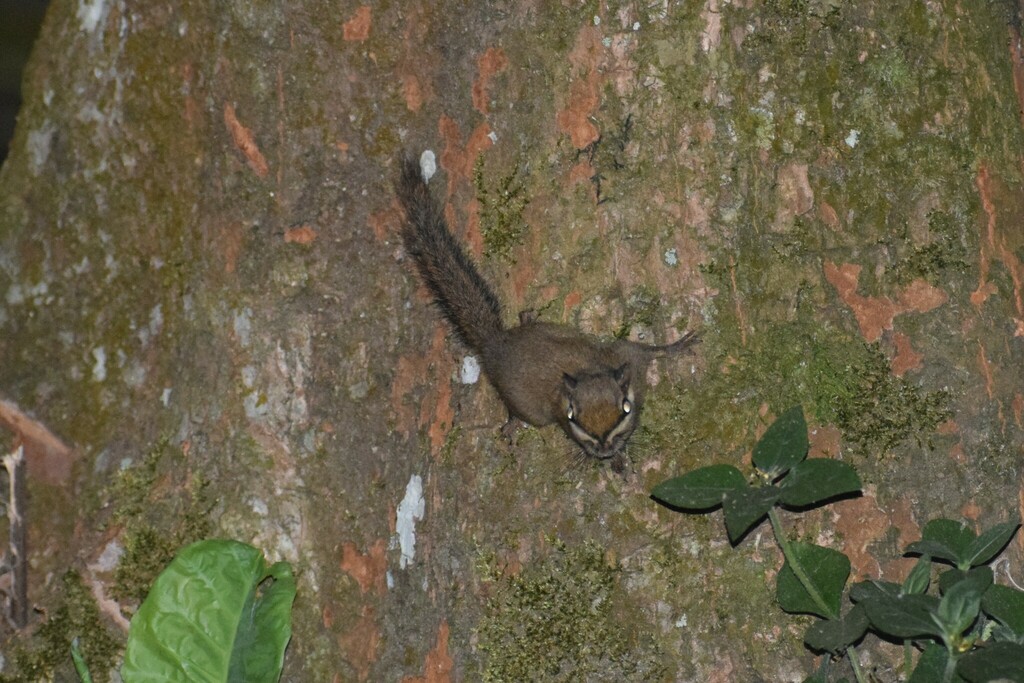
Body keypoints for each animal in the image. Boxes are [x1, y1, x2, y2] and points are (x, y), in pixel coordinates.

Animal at [395, 154, 698, 471]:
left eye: (624, 409)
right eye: (573, 418)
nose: (603, 448)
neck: (589, 372)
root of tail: (494, 343)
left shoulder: (626, 356)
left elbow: (649, 350)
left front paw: (676, 346)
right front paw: (617, 461)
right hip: (528, 410)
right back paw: (513, 424)